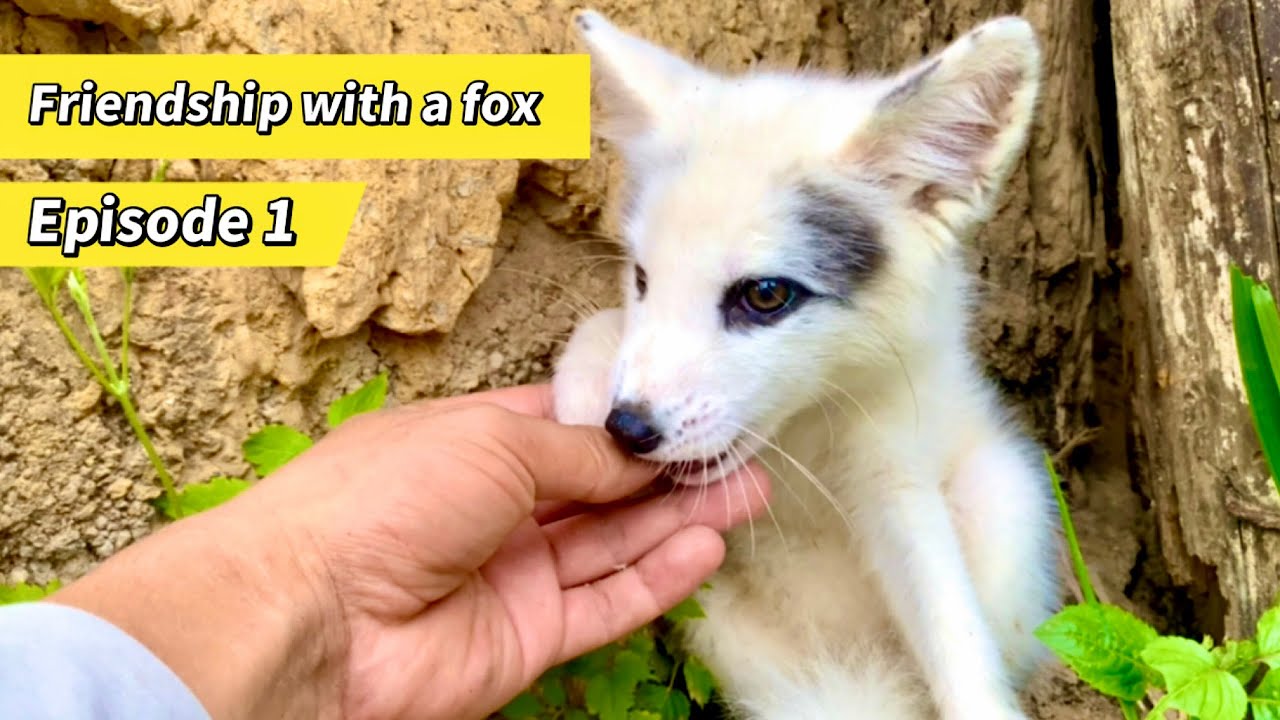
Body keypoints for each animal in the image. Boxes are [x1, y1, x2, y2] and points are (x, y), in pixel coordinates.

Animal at [551, 10, 1060, 719]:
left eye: (766, 296)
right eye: (643, 278)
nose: (626, 430)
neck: (804, 433)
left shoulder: (894, 464)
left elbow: (954, 639)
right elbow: (597, 326)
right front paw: (581, 391)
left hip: (1004, 494)